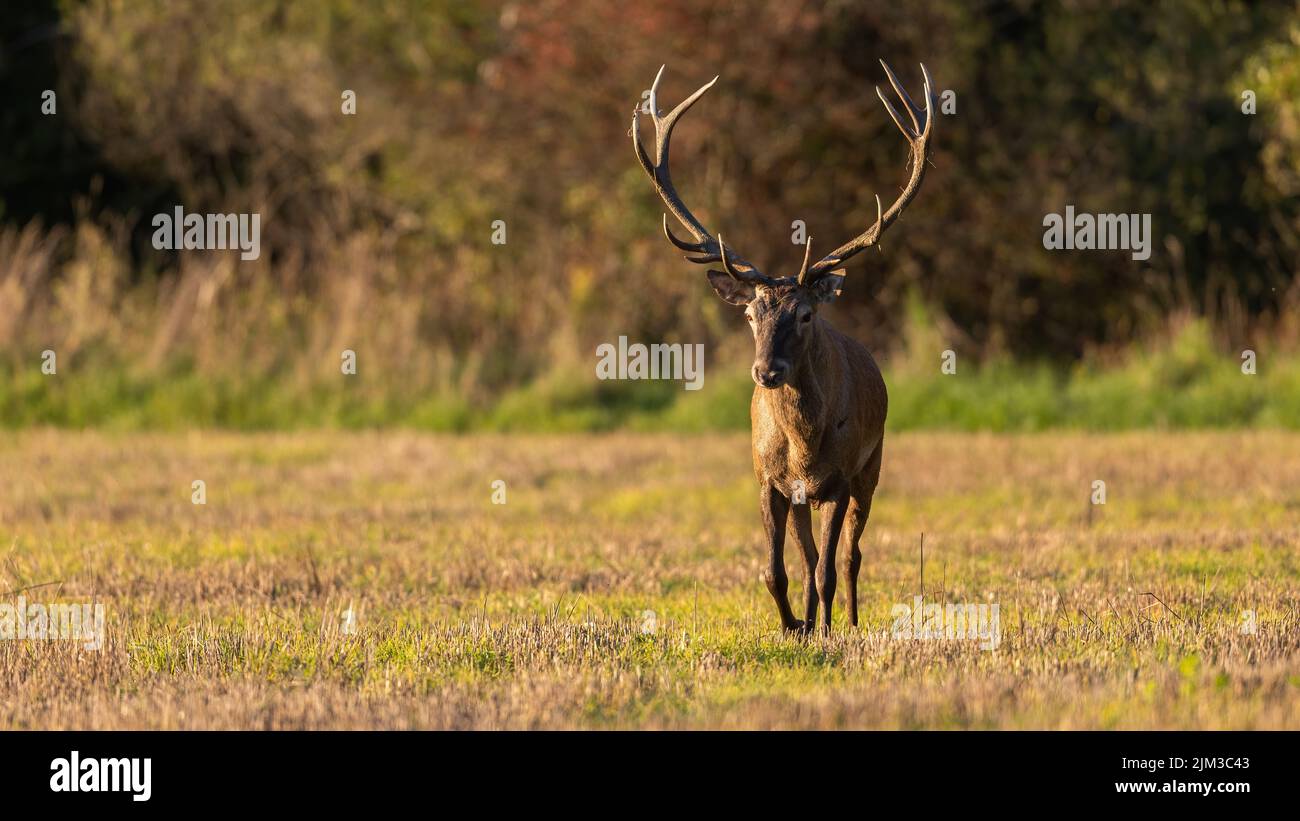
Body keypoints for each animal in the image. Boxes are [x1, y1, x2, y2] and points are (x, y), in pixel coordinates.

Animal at [632, 60, 935, 635]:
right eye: (751, 314)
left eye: (806, 315)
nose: (765, 372)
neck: (803, 449)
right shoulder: (768, 481)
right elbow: (776, 570)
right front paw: (793, 625)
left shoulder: (840, 479)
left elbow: (830, 568)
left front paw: (824, 629)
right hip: (807, 497)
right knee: (810, 555)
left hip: (872, 466)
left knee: (850, 557)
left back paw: (850, 623)